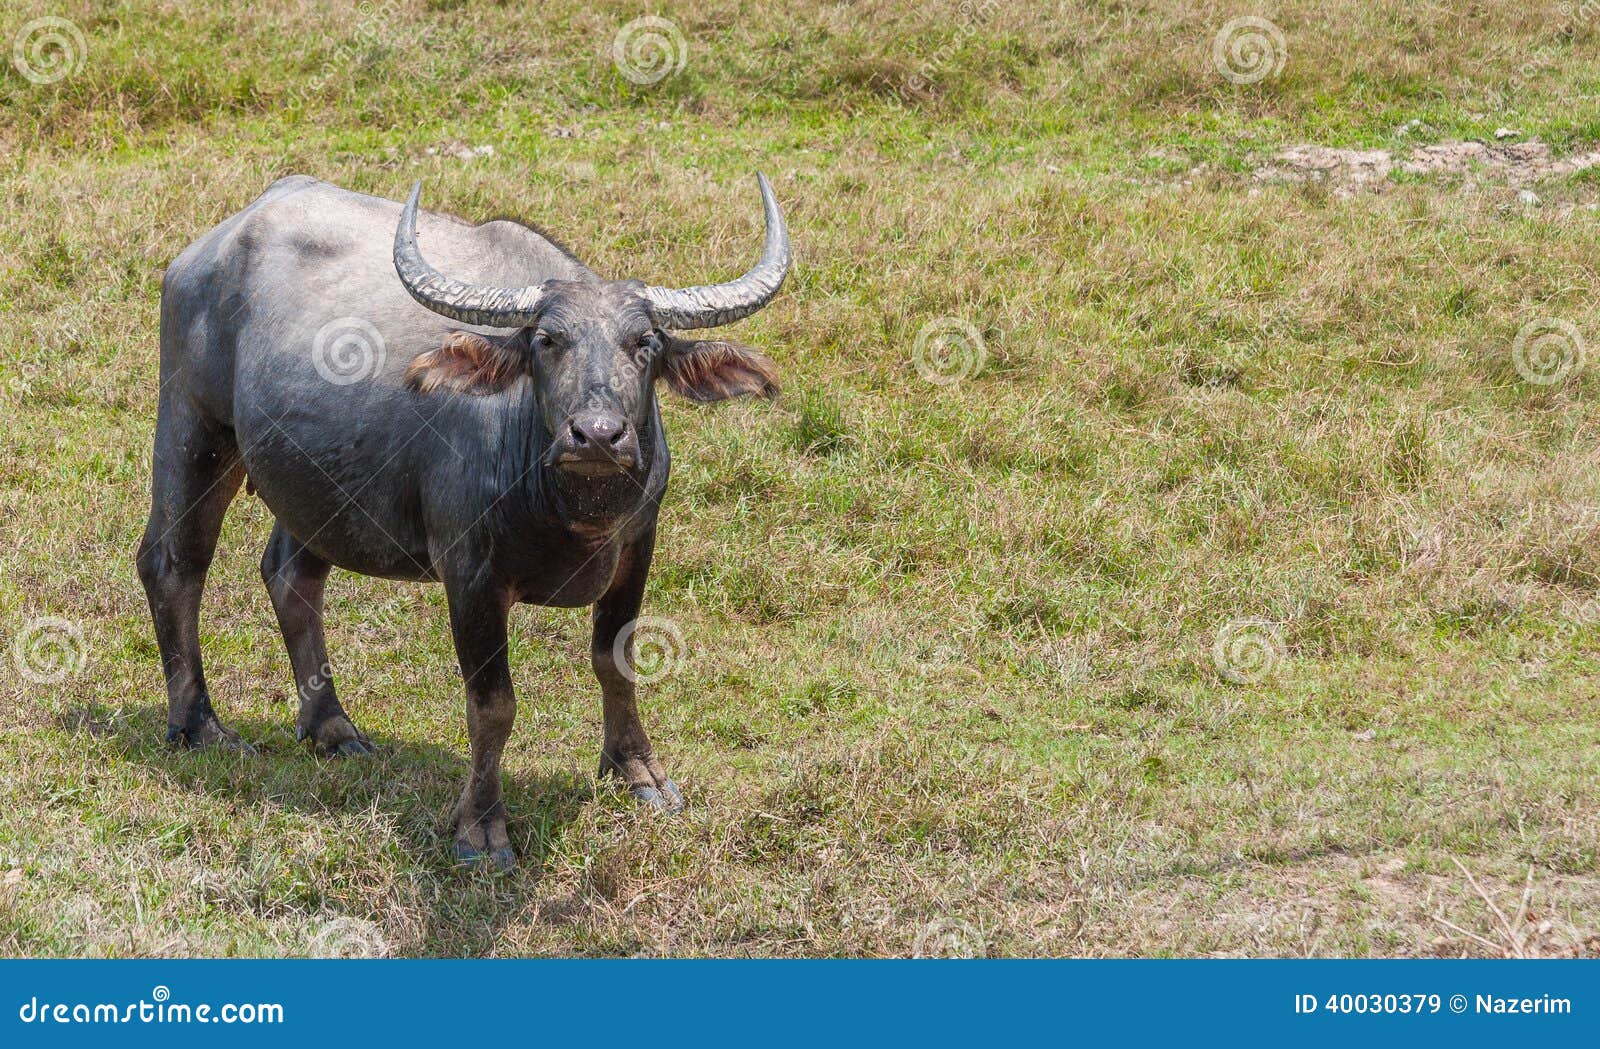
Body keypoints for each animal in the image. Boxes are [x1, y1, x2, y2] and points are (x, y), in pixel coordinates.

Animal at [137, 173, 790, 868]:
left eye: (645, 344)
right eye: (546, 341)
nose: (596, 435)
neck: (569, 511)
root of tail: (212, 246)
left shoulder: (637, 546)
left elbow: (615, 658)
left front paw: (637, 773)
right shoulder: (471, 574)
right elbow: (492, 705)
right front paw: (481, 830)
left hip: (312, 485)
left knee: (290, 574)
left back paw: (331, 727)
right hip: (194, 427)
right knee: (174, 563)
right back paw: (199, 726)